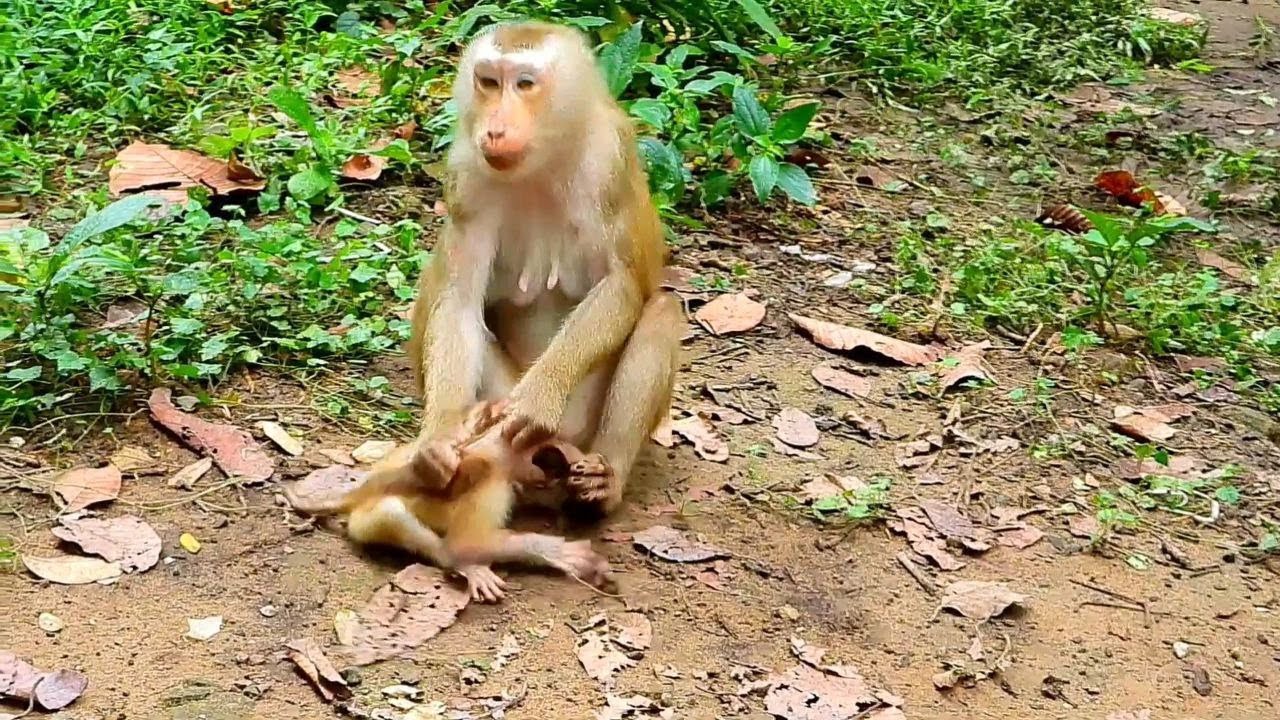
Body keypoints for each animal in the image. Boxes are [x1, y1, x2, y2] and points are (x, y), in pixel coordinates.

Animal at [283, 401, 612, 602]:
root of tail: (356, 494)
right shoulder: (492, 481)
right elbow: (466, 541)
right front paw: (562, 553)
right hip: (366, 520)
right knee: (395, 514)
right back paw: (462, 564)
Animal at [398, 19, 684, 520]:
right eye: (489, 82)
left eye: (525, 84)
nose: (494, 128)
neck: (544, 158)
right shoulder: (465, 172)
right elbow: (458, 301)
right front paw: (438, 437)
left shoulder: (608, 162)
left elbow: (621, 285)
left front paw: (538, 399)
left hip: (582, 417)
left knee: (661, 312)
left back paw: (605, 477)